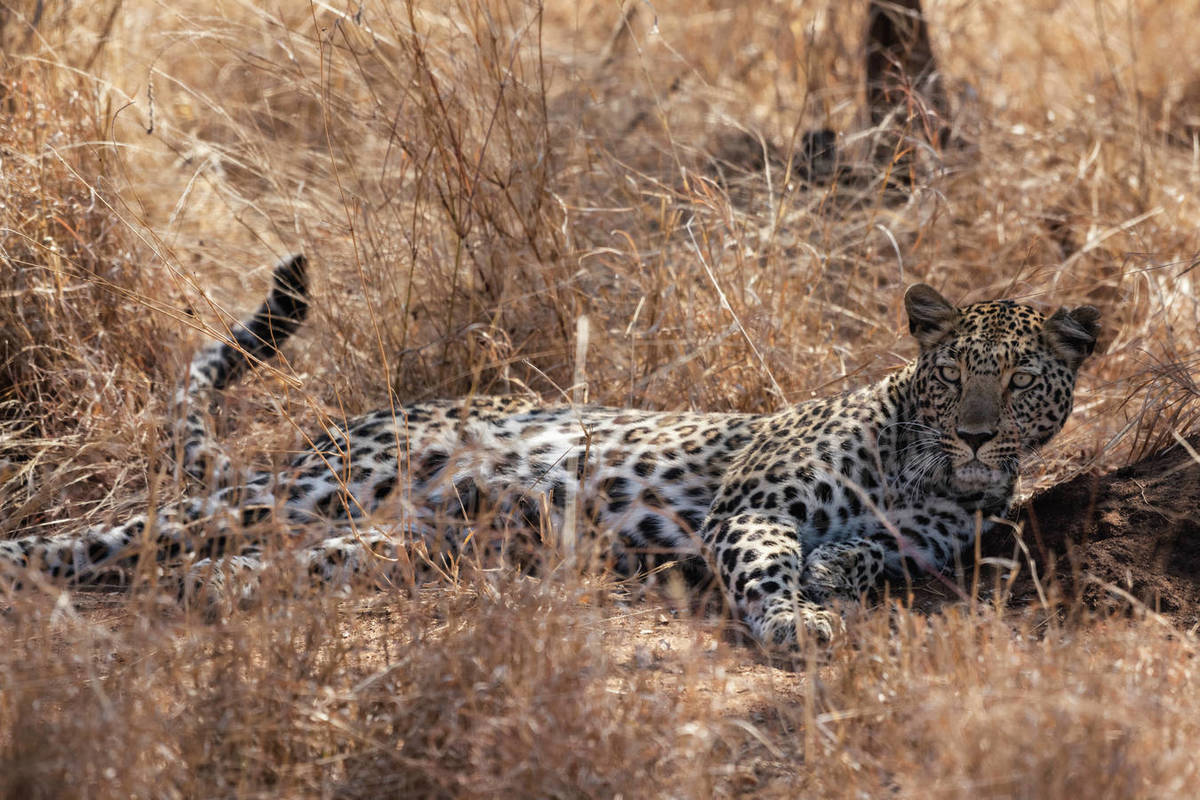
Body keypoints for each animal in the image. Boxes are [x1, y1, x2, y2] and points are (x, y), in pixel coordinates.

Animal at [0, 253, 1101, 649]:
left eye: (1020, 381)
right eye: (955, 373)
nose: (976, 431)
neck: (920, 460)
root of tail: (344, 425)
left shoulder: (939, 538)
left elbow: (876, 549)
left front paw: (836, 573)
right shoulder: (747, 508)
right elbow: (765, 564)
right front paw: (793, 616)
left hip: (396, 539)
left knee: (255, 562)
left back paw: (224, 589)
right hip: (306, 490)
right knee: (114, 535)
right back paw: (29, 559)